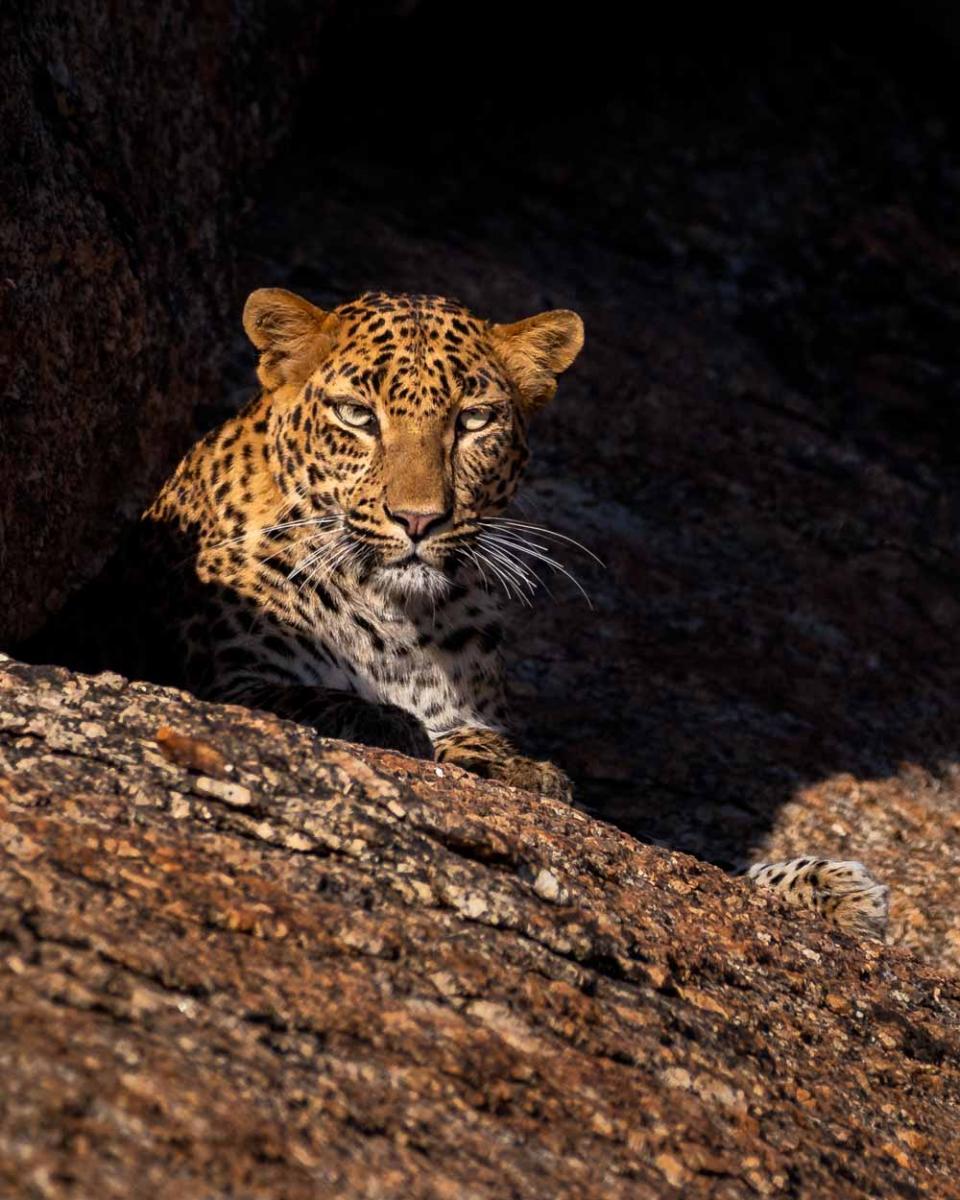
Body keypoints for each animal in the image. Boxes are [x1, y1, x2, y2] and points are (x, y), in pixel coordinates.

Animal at [54, 286, 891, 939]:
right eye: (357, 415)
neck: (394, 617)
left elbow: (660, 847)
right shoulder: (230, 682)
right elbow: (361, 712)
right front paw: (481, 756)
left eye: (473, 422)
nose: (419, 520)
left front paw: (827, 886)